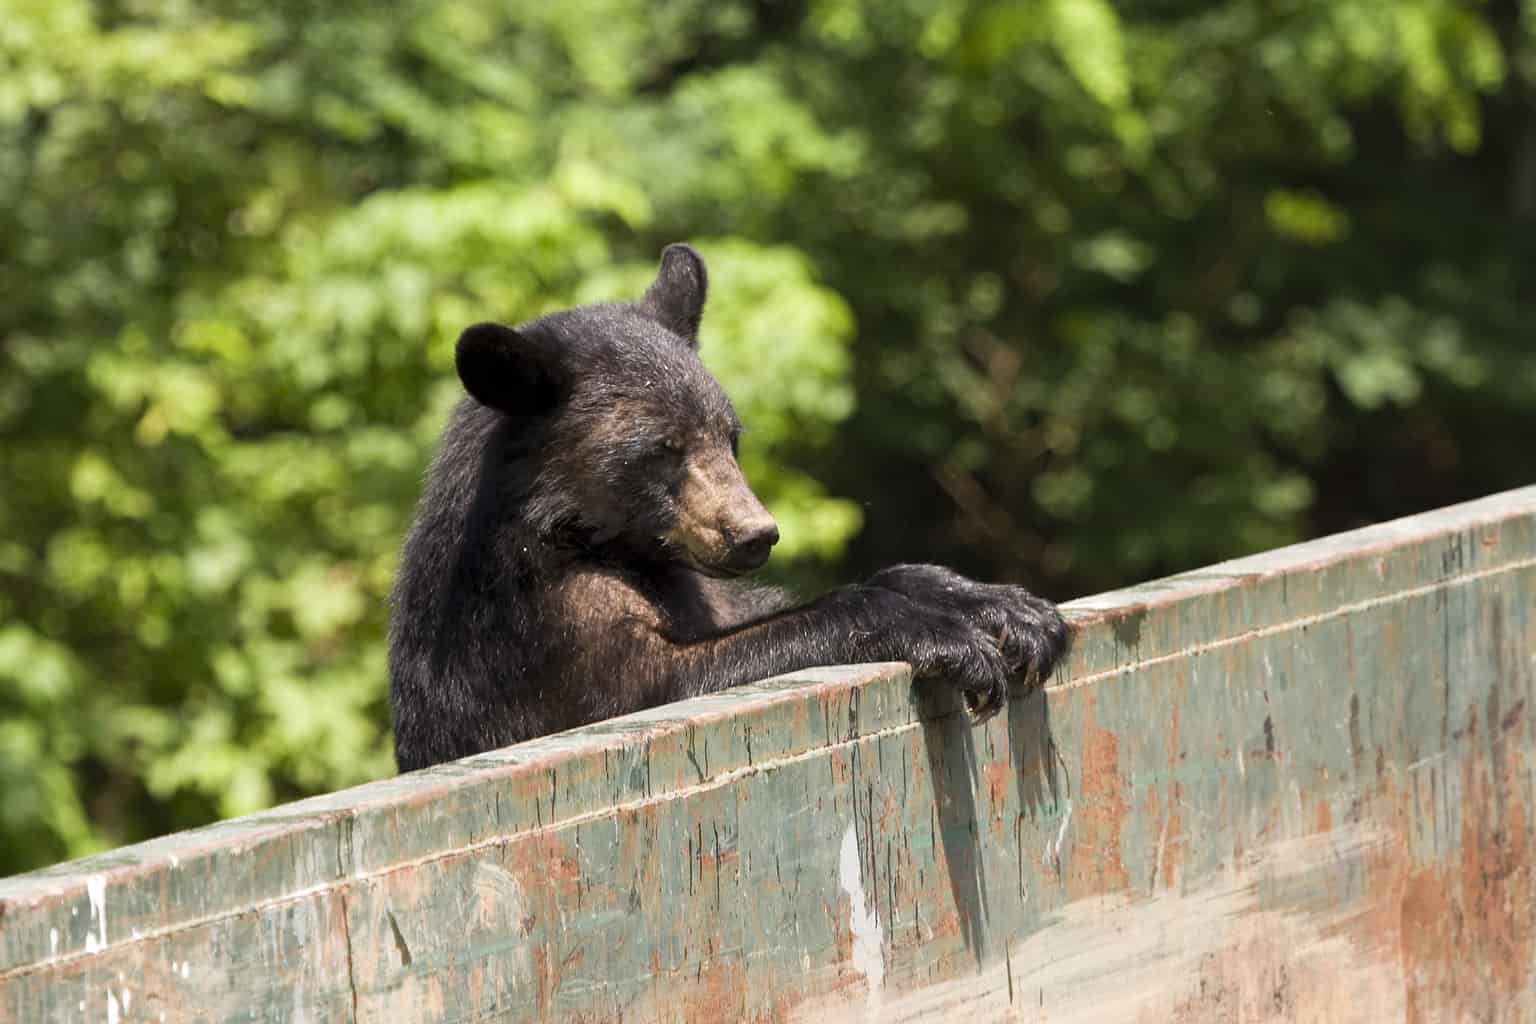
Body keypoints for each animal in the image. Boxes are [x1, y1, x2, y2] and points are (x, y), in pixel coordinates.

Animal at [387, 244, 1069, 772]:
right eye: (661, 449)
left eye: (730, 436)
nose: (754, 533)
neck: (583, 540)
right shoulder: (545, 630)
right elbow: (659, 685)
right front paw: (939, 631)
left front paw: (1003, 607)